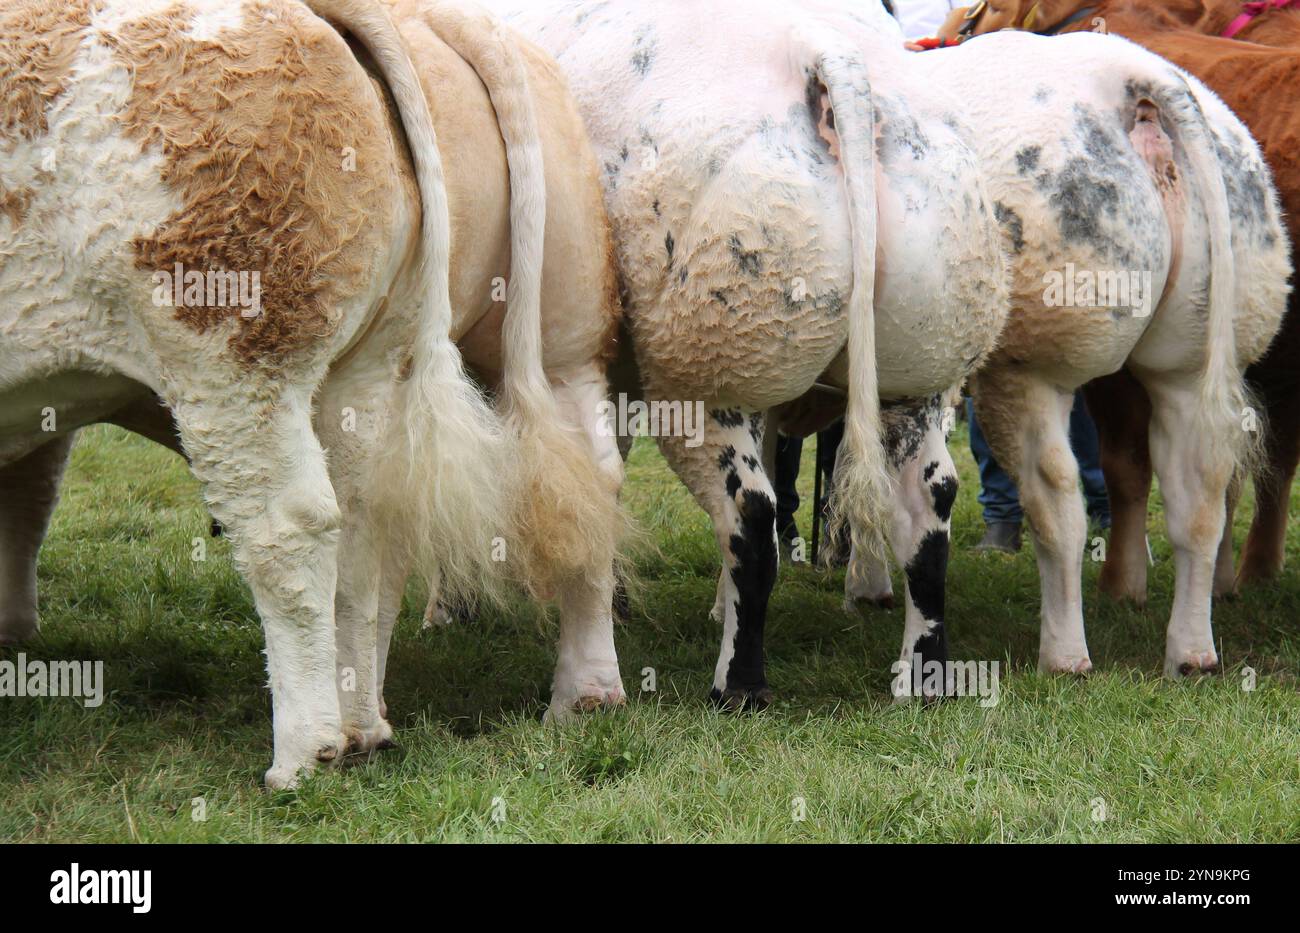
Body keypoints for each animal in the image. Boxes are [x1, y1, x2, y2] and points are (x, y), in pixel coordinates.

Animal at [489, 0, 1012, 704]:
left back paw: (737, 685)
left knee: (750, 514)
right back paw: (923, 676)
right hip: (918, 358)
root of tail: (823, 55)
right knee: (930, 509)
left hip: (708, 363)